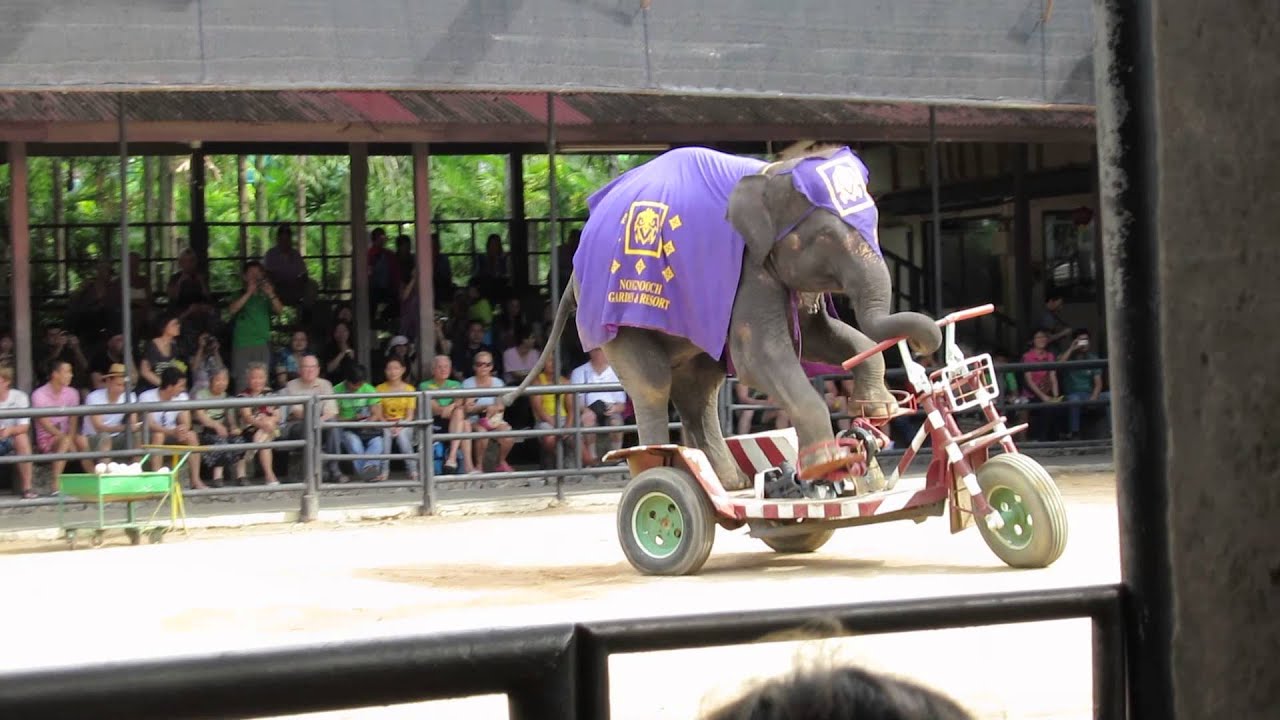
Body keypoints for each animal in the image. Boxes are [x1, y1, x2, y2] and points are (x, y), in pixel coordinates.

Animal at [503, 145, 942, 491]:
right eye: (827, 237)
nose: (924, 346)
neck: (769, 173)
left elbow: (821, 335)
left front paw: (881, 411)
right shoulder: (747, 270)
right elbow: (759, 358)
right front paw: (829, 465)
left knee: (699, 387)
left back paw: (731, 482)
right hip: (614, 314)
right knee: (652, 384)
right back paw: (656, 467)